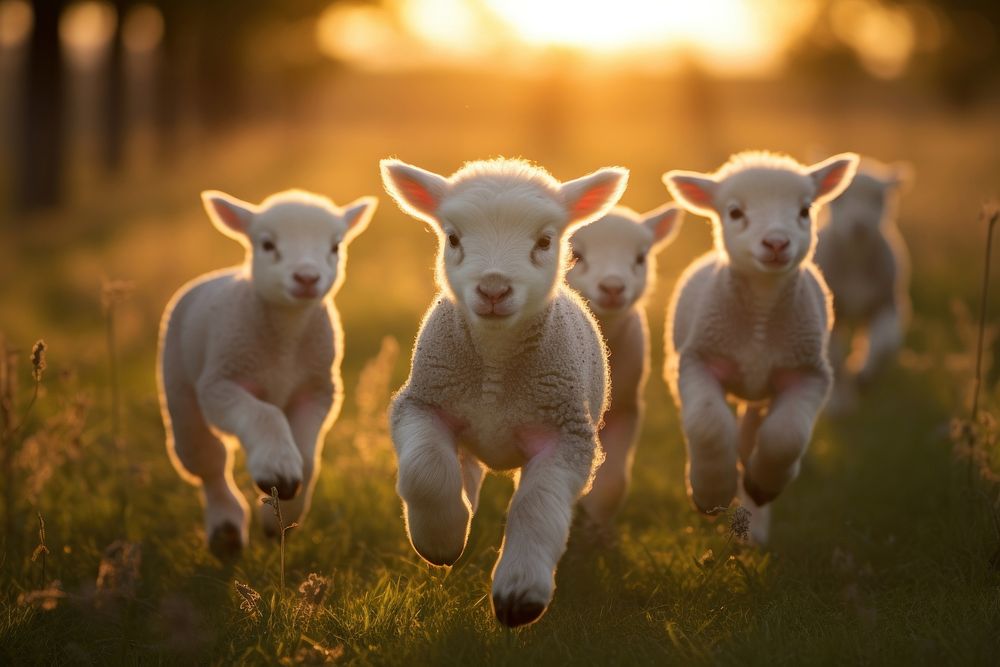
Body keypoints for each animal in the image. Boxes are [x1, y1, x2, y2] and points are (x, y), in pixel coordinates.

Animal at [157, 189, 376, 558]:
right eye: (268, 244)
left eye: (335, 246)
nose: (306, 278)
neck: (285, 342)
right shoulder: (221, 383)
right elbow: (264, 414)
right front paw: (277, 471)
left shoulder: (318, 389)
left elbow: (308, 457)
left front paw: (283, 513)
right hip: (179, 387)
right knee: (208, 461)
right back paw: (226, 530)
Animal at [380, 157, 627, 627]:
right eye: (453, 237)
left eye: (545, 240)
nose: (493, 289)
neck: (495, 364)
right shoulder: (421, 403)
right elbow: (426, 471)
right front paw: (441, 539)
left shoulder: (567, 433)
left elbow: (536, 506)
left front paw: (519, 594)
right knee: (459, 466)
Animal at [565, 204, 684, 533]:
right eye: (576, 254)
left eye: (641, 258)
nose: (613, 287)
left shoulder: (626, 407)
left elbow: (613, 484)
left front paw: (594, 529)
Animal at [662, 151, 858, 544]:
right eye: (735, 212)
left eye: (805, 210)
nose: (777, 243)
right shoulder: (697, 359)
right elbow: (707, 423)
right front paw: (710, 493)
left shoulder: (809, 371)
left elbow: (786, 435)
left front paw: (762, 485)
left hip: (764, 392)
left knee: (753, 438)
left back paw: (754, 526)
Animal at [814, 159, 912, 414]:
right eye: (839, 199)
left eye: (879, 199)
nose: (859, 227)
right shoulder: (834, 314)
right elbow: (835, 358)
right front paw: (839, 403)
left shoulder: (888, 301)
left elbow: (886, 342)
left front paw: (864, 374)